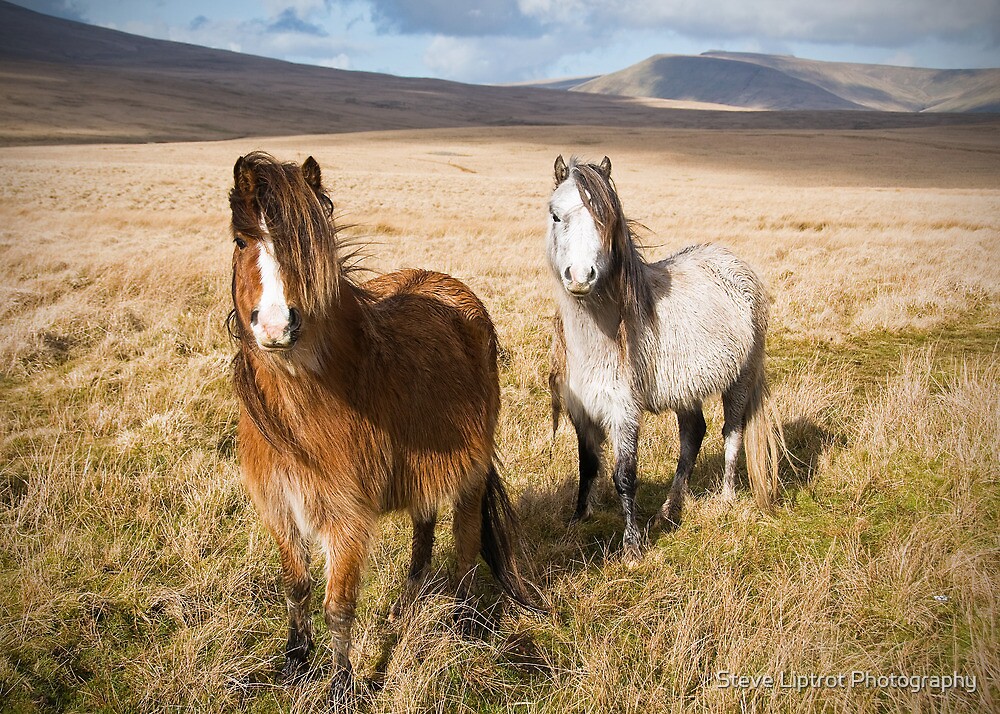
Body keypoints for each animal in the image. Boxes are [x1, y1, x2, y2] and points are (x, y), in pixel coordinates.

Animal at [227, 151, 540, 703]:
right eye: (243, 241)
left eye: (309, 244)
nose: (276, 325)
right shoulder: (280, 508)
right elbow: (295, 587)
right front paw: (294, 663)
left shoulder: (346, 517)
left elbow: (337, 605)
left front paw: (341, 687)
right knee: (423, 534)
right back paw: (409, 603)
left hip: (470, 475)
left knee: (463, 546)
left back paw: (464, 625)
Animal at [546, 155, 786, 553]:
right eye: (555, 215)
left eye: (607, 219)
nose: (580, 277)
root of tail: (733, 260)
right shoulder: (582, 411)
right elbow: (588, 466)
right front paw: (577, 520)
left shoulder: (624, 412)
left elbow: (624, 475)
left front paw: (632, 546)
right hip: (687, 390)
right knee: (693, 436)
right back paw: (669, 510)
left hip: (740, 379)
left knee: (732, 433)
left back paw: (725, 500)